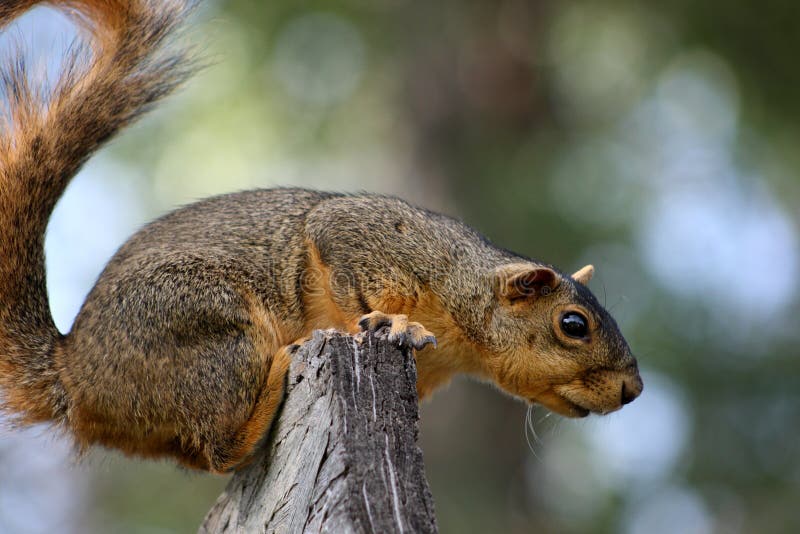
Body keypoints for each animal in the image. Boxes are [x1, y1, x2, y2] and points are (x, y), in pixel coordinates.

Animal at [0, 0, 642, 474]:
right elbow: (349, 269)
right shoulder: (367, 239)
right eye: (574, 325)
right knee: (220, 451)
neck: (461, 309)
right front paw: (395, 321)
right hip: (208, 324)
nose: (634, 391)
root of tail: (75, 377)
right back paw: (277, 374)